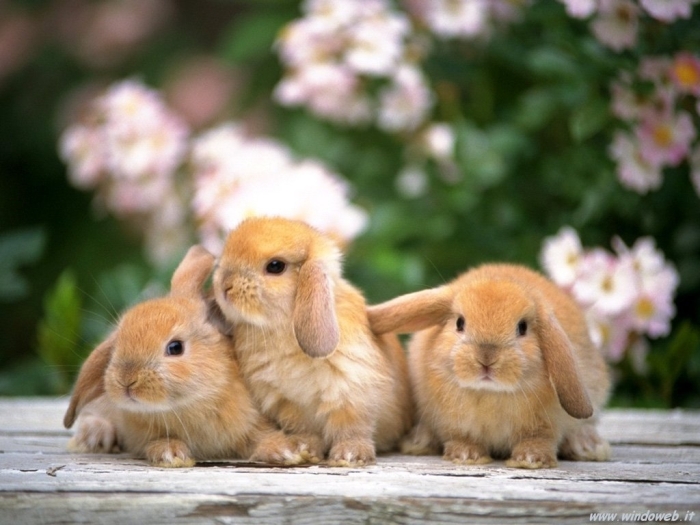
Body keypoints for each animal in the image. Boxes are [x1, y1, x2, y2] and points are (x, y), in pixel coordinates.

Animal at [63, 245, 305, 468]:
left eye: (175, 347)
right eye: (116, 346)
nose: (126, 380)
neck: (191, 404)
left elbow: (260, 438)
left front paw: (286, 451)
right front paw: (170, 454)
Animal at [212, 217, 414, 467]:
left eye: (275, 266)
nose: (224, 286)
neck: (283, 329)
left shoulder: (352, 394)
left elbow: (352, 428)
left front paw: (350, 455)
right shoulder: (287, 403)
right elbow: (305, 430)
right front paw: (303, 449)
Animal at [367, 263, 611, 469]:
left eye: (522, 328)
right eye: (460, 323)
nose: (486, 358)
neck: (490, 393)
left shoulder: (546, 426)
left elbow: (539, 440)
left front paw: (531, 459)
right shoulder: (453, 424)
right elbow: (461, 437)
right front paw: (466, 455)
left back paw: (588, 446)